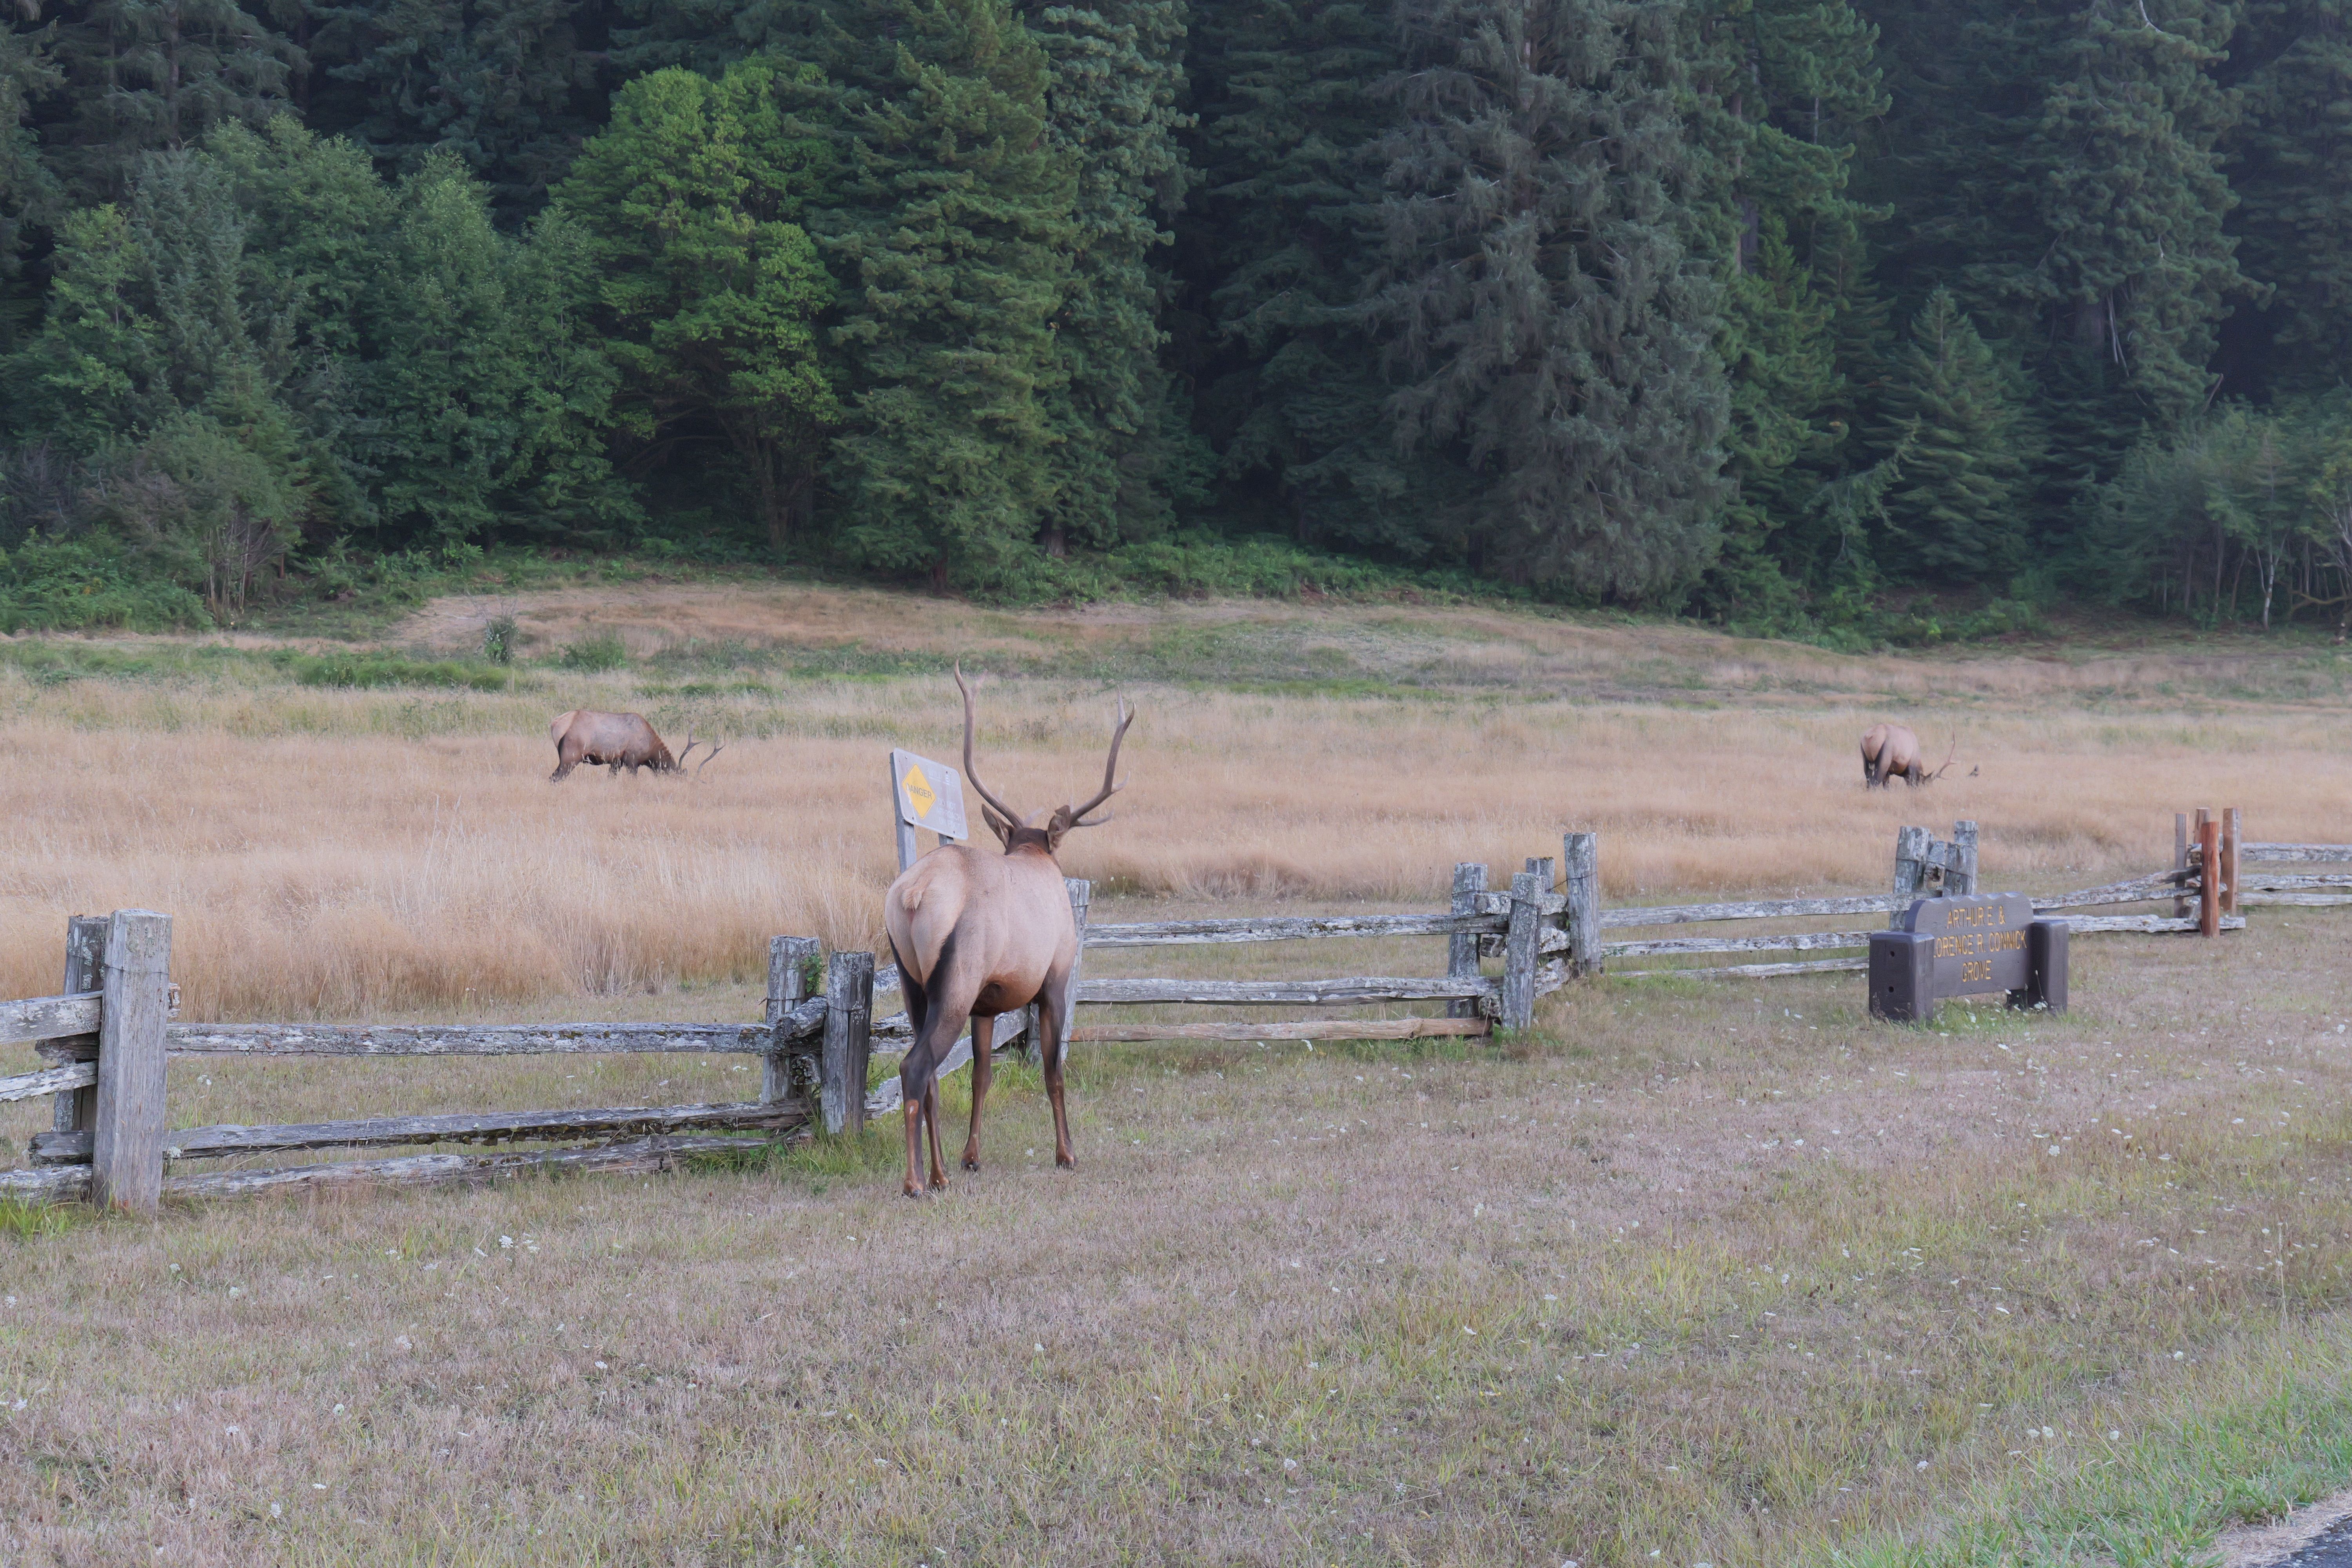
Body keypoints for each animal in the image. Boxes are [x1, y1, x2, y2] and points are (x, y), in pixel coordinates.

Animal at [548, 711, 722, 782]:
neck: (651, 750)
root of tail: (556, 723)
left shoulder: (616, 761)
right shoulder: (632, 760)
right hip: (572, 755)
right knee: (555, 777)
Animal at [883, 665, 1131, 1199]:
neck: (1037, 853)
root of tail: (913, 896)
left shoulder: (986, 1002)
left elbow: (981, 1074)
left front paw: (972, 1156)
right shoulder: (1054, 980)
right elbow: (1053, 1070)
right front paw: (1067, 1153)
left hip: (915, 984)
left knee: (931, 1076)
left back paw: (941, 1174)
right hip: (955, 982)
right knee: (915, 1067)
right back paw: (915, 1181)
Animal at [1860, 723, 1954, 788]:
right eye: (1925, 785)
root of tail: (1870, 736)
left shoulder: (1889, 773)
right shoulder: (1912, 769)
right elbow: (1912, 785)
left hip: (1866, 761)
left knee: (1869, 781)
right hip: (1884, 760)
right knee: (1874, 783)